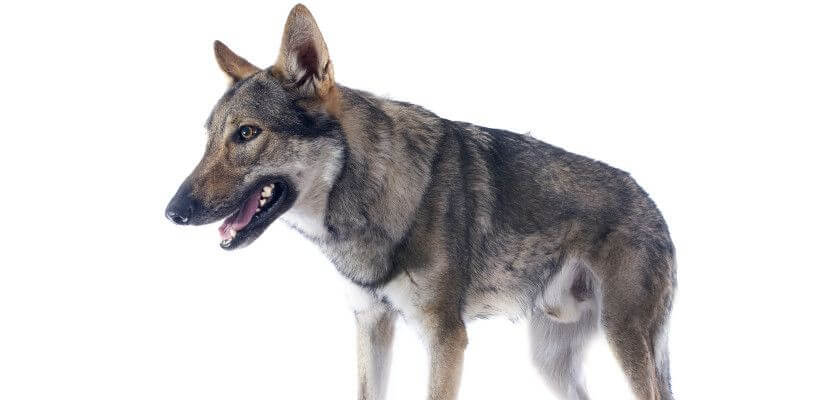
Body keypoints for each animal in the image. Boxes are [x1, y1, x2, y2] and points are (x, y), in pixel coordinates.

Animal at [165, 4, 676, 400]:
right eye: (208, 139)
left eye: (246, 134)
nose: (173, 211)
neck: (372, 196)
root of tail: (653, 202)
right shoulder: (371, 325)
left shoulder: (446, 339)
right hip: (551, 362)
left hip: (622, 339)